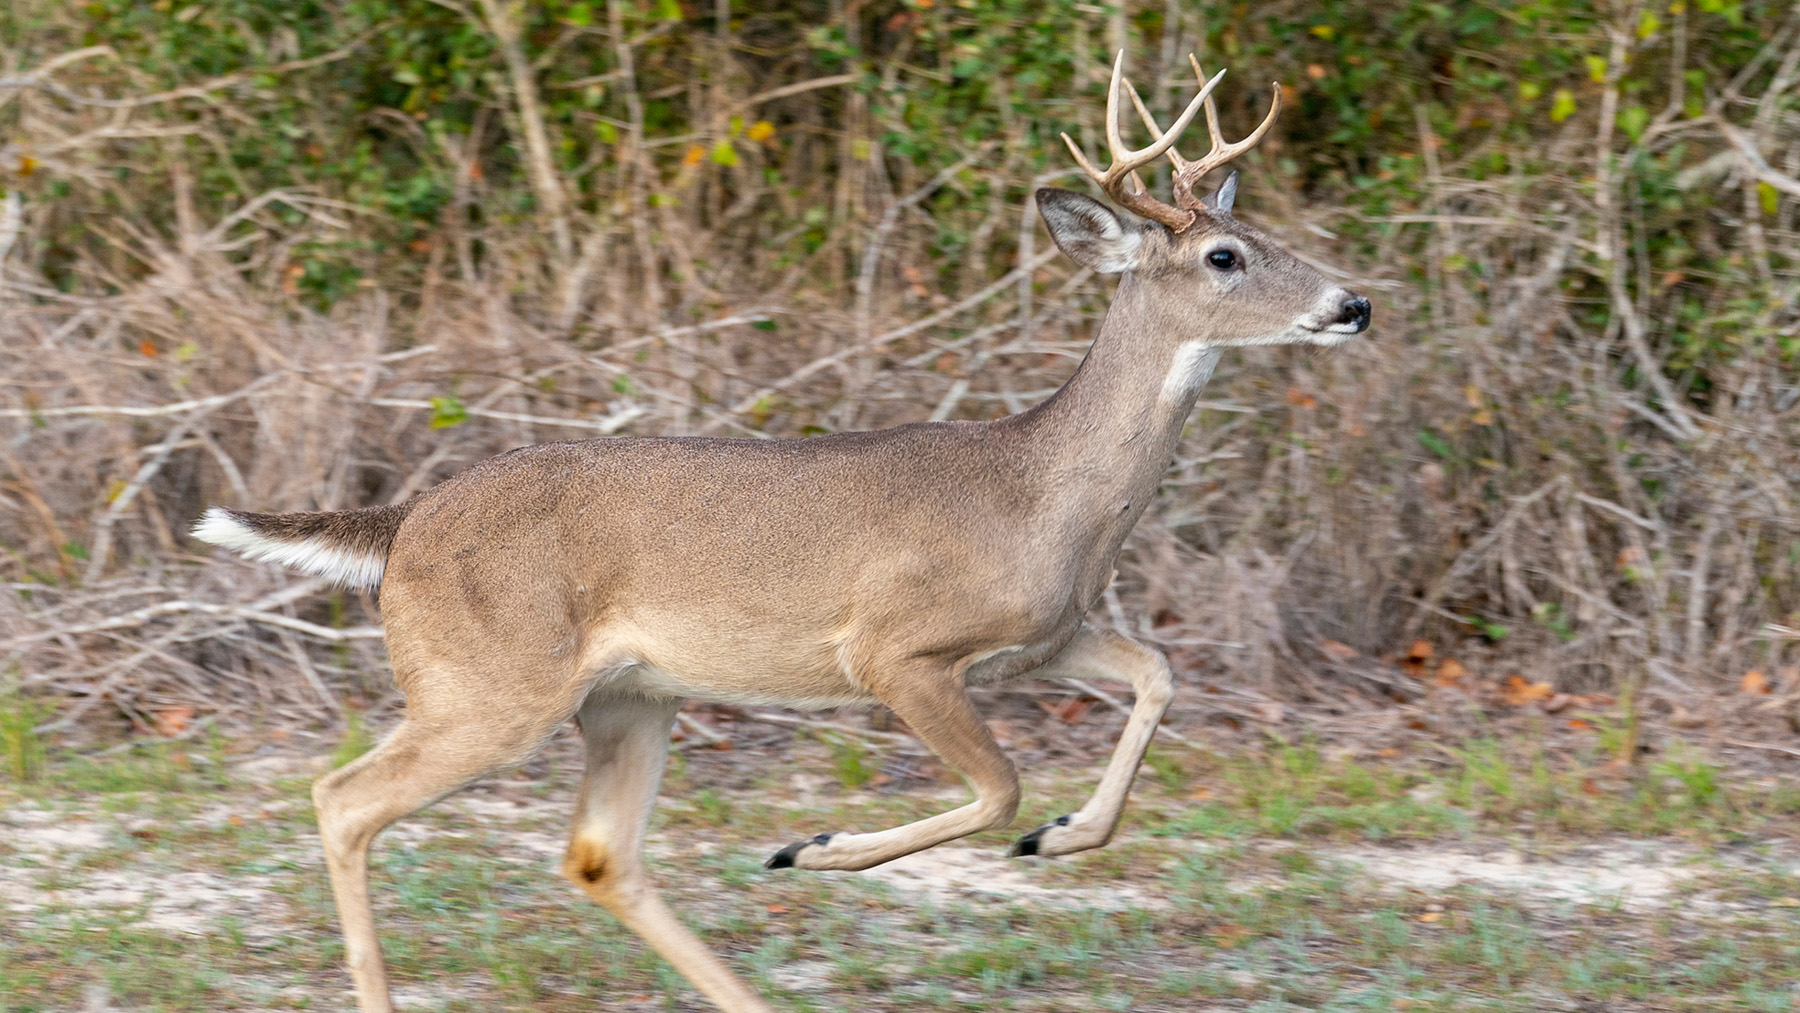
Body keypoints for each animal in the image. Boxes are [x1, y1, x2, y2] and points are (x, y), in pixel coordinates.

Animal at [192, 51, 1369, 1013]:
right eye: (1225, 256)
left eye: (1269, 236)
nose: (1354, 303)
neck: (1044, 494)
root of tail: (401, 527)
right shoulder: (893, 646)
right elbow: (999, 786)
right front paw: (823, 845)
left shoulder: (1048, 633)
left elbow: (1158, 672)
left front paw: (1063, 835)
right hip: (490, 680)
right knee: (344, 799)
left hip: (628, 694)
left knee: (597, 854)